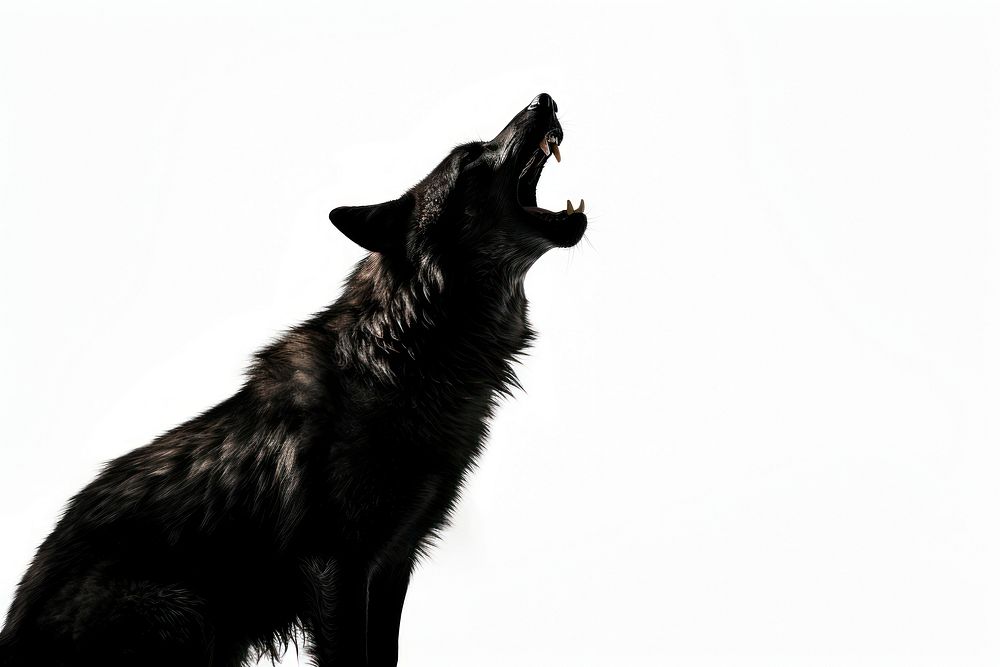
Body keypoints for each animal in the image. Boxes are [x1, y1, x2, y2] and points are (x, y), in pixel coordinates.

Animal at [0, 93, 587, 666]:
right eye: (470, 157)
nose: (545, 98)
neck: (405, 354)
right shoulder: (336, 564)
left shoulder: (394, 560)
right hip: (186, 611)